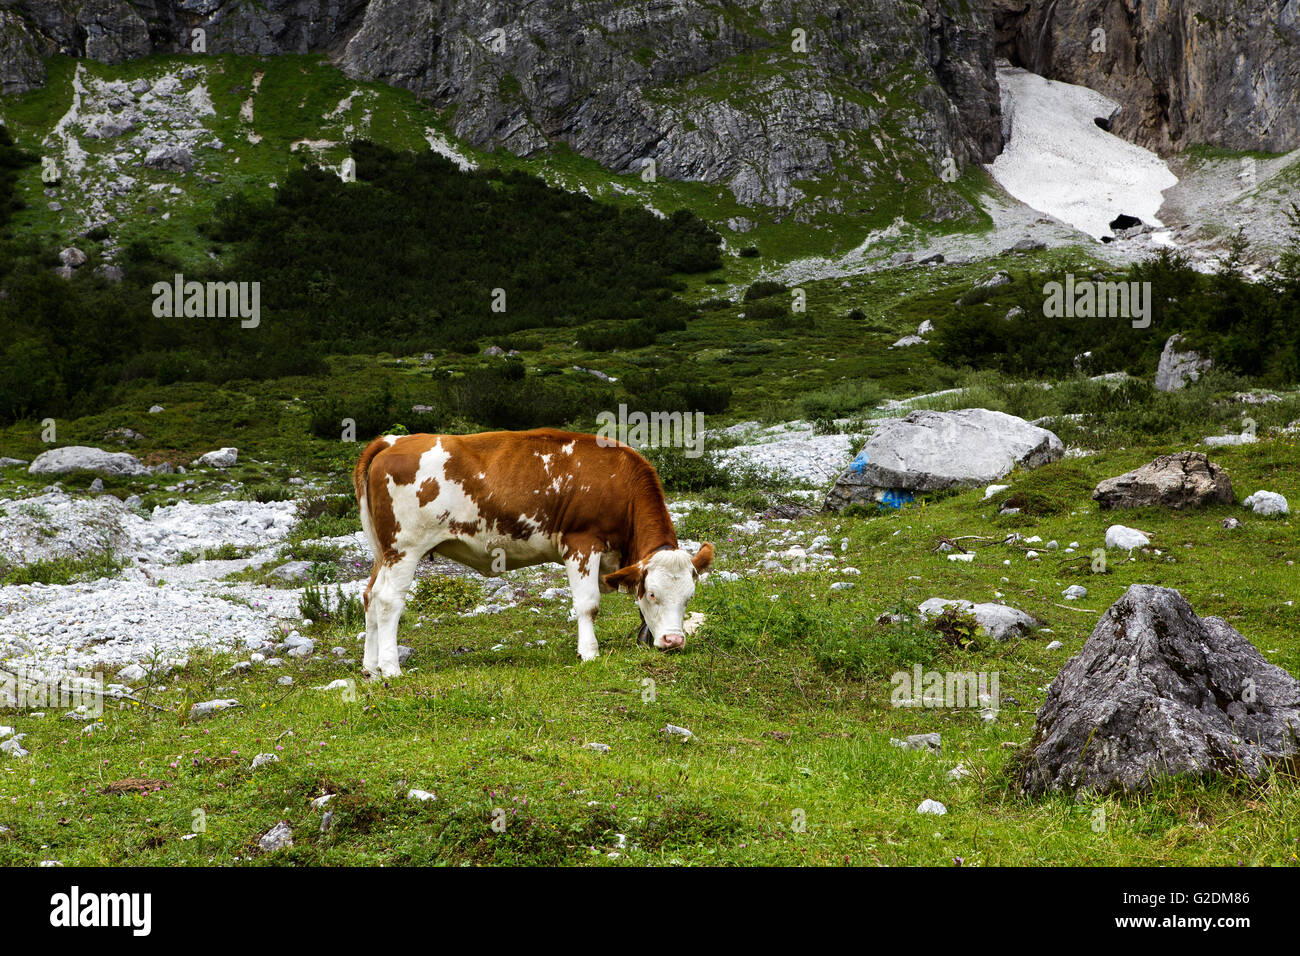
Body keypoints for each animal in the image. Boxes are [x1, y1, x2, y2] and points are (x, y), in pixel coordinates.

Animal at [353, 428, 714, 677]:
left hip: (384, 552)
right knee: (388, 601)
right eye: (652, 593)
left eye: (689, 597)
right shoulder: (582, 542)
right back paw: (391, 668)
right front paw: (589, 652)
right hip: (404, 548)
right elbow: (588, 605)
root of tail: (392, 441)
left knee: (370, 597)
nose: (673, 641)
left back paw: (370, 668)